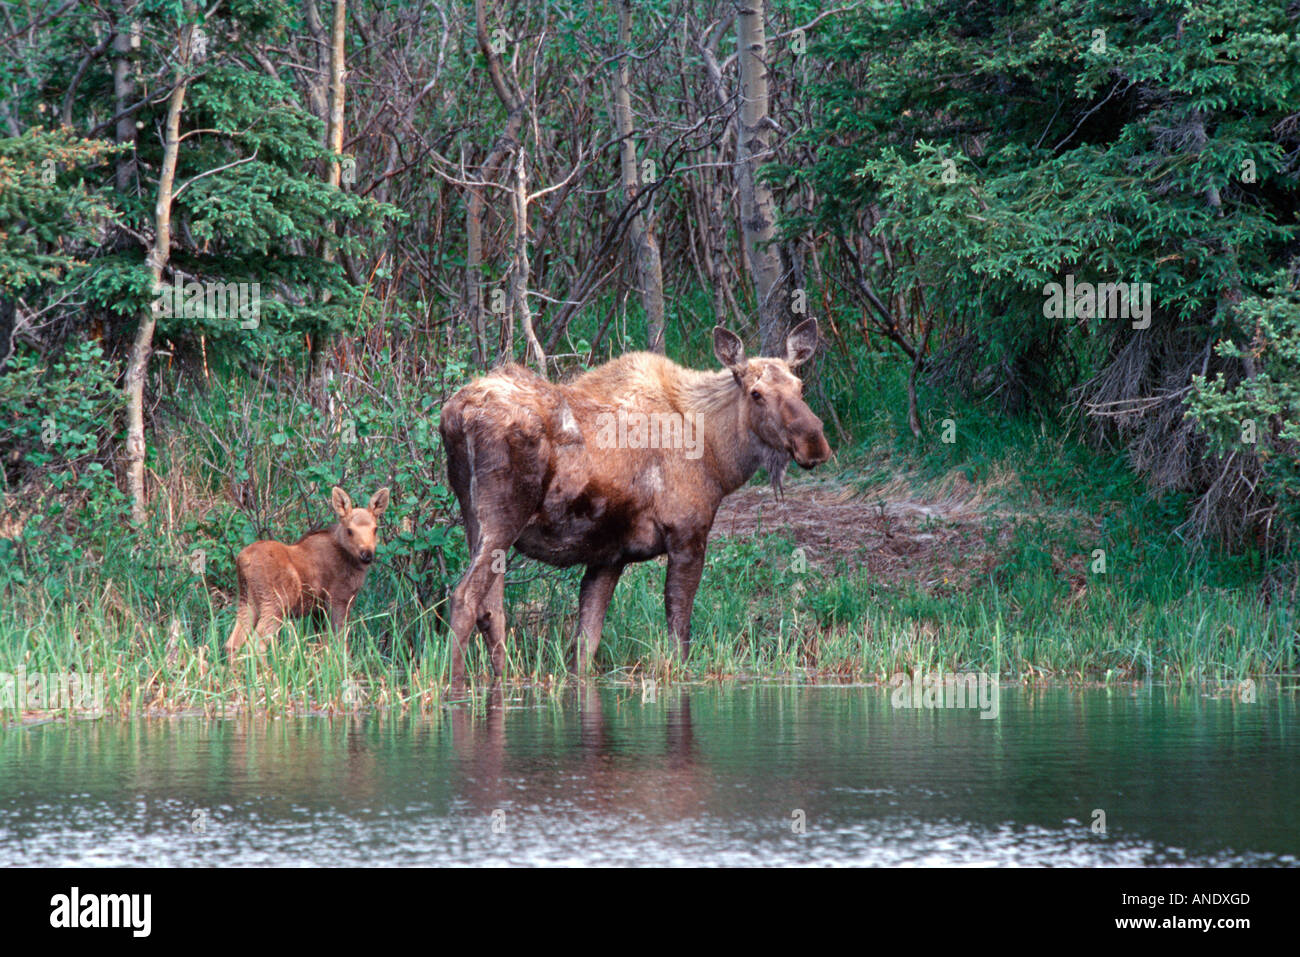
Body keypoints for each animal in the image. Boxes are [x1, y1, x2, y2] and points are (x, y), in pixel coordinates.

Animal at [224, 486, 390, 657]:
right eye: (350, 530)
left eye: (375, 529)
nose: (367, 554)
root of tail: (243, 560)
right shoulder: (339, 599)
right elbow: (341, 644)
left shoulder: (318, 610)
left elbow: (322, 644)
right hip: (276, 601)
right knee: (258, 644)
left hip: (247, 600)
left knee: (233, 643)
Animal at [439, 319, 831, 685]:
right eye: (756, 393)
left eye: (800, 387)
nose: (813, 442)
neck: (719, 459)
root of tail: (456, 415)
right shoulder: (687, 536)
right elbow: (678, 635)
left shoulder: (609, 557)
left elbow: (585, 648)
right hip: (501, 519)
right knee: (464, 599)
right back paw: (454, 687)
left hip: (476, 522)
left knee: (493, 610)